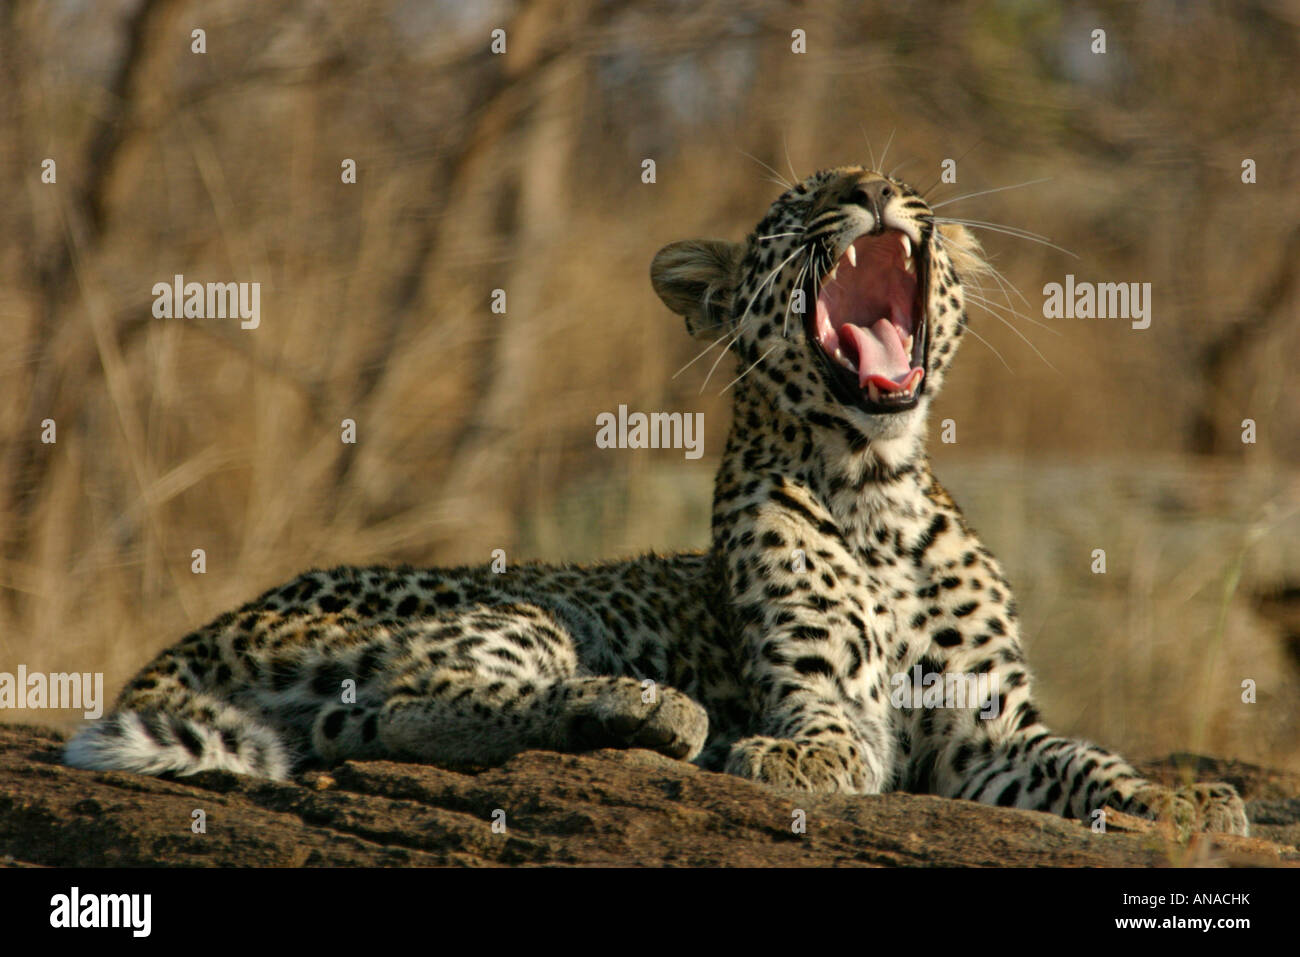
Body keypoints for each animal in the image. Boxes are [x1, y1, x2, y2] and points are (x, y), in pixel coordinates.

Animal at [65, 164, 1248, 837]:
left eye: (907, 180)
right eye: (795, 206)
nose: (866, 188)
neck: (878, 490)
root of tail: (203, 632)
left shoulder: (984, 731)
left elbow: (1088, 760)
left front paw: (1186, 801)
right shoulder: (832, 694)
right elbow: (834, 735)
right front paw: (788, 756)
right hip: (518, 607)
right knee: (399, 707)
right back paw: (650, 709)